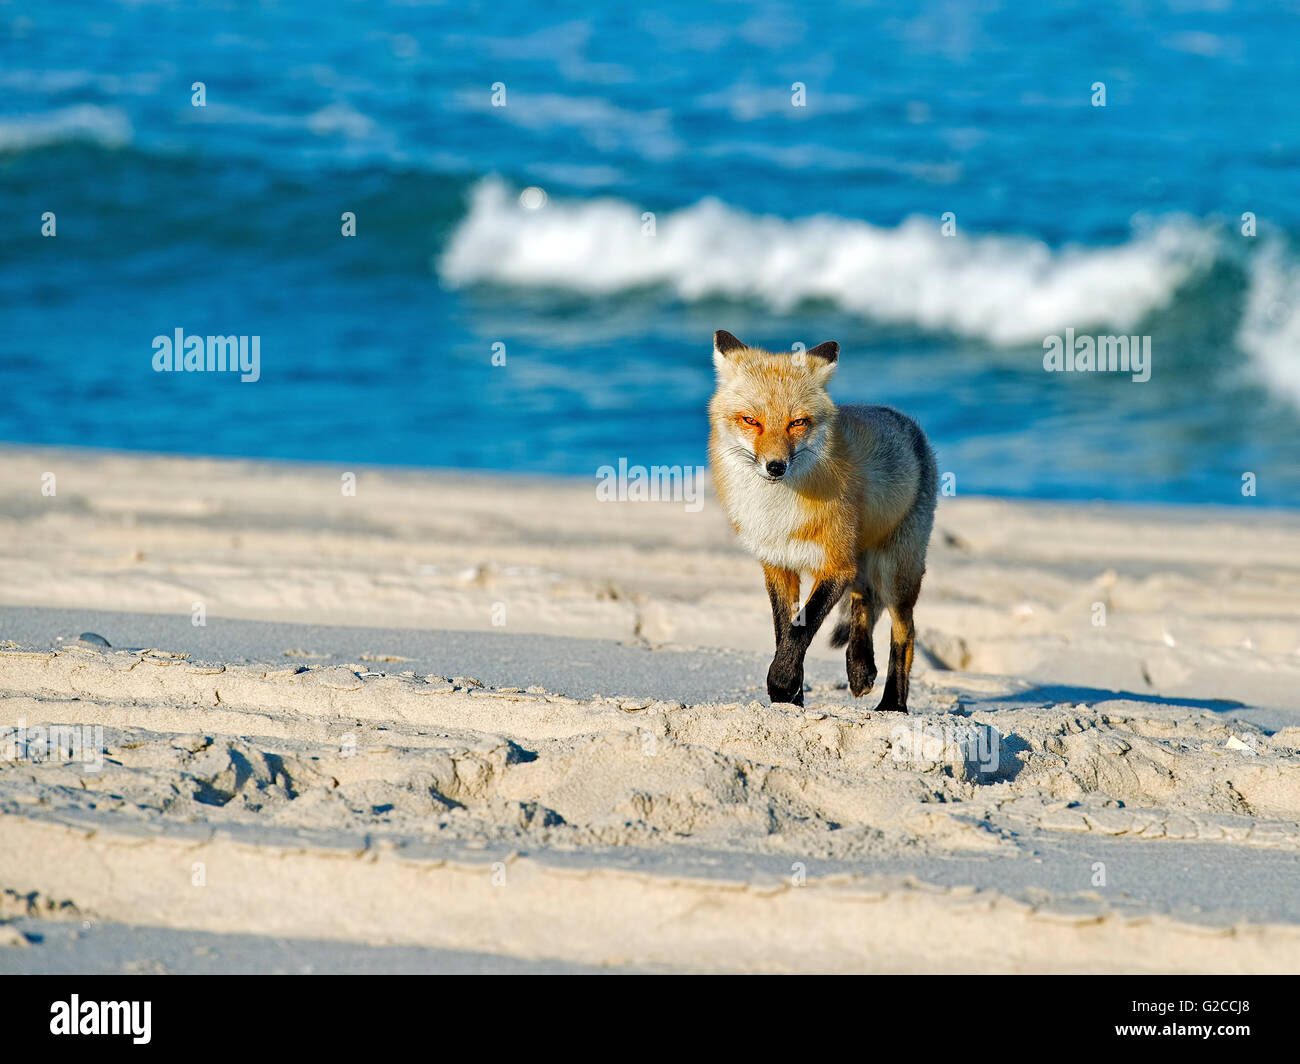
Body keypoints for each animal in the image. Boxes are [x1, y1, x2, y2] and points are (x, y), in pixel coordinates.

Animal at [707, 330, 938, 712]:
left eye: (797, 422)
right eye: (751, 420)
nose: (775, 467)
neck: (778, 512)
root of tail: (904, 420)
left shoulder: (835, 565)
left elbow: (802, 628)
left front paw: (782, 682)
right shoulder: (778, 564)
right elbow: (785, 631)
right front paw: (793, 697)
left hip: (895, 571)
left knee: (905, 632)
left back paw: (892, 703)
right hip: (862, 556)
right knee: (864, 598)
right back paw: (860, 667)